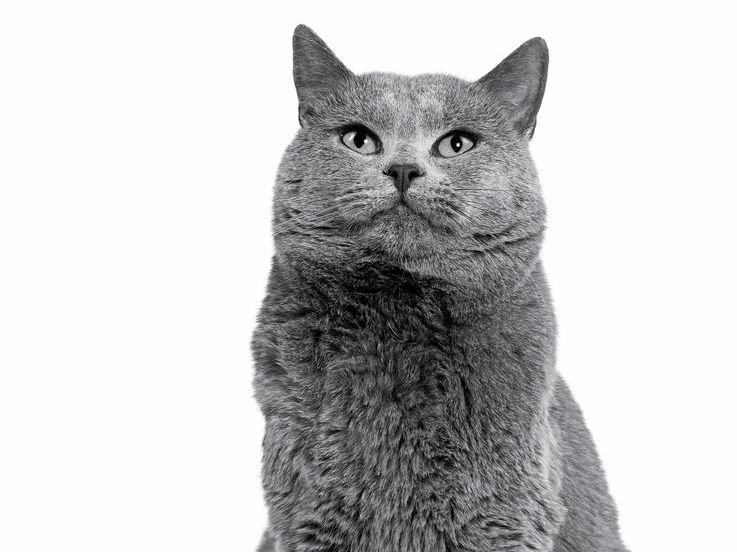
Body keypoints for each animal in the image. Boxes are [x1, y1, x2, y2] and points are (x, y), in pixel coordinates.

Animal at [253, 24, 628, 552]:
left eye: (456, 144)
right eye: (358, 139)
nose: (403, 169)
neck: (398, 311)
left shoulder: (505, 516)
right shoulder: (305, 512)